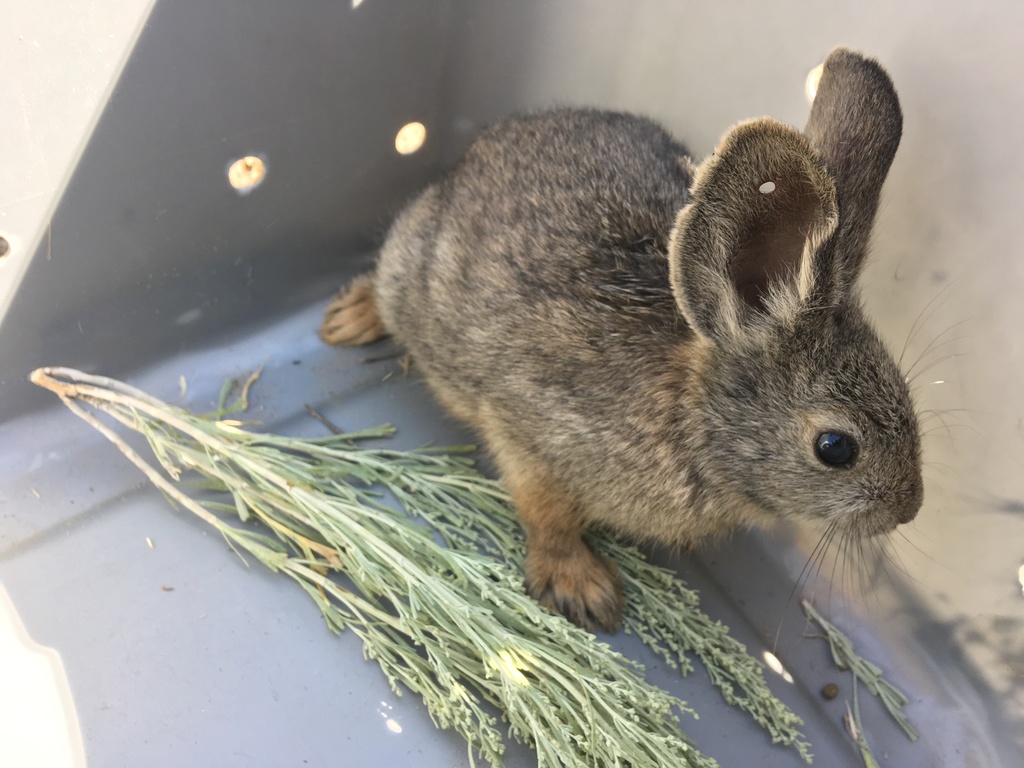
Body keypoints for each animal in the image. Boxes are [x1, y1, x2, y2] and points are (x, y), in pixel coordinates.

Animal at [319, 47, 923, 632]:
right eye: (835, 447)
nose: (907, 509)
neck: (691, 420)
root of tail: (465, 162)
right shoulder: (529, 426)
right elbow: (545, 512)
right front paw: (583, 589)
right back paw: (347, 319)